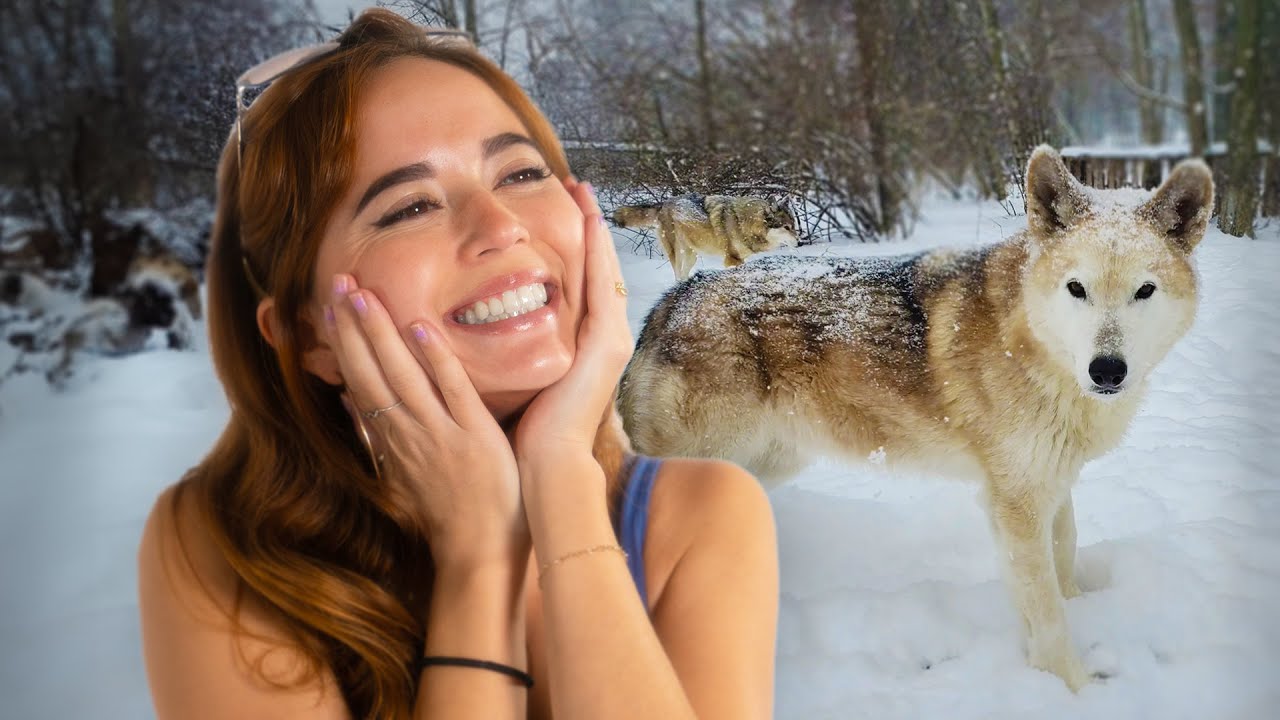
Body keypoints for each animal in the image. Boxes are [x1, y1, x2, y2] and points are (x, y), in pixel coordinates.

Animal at [612, 194, 799, 279]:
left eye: (794, 226)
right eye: (786, 227)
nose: (799, 242)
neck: (743, 222)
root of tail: (664, 203)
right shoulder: (731, 259)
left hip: (691, 256)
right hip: (678, 254)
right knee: (678, 276)